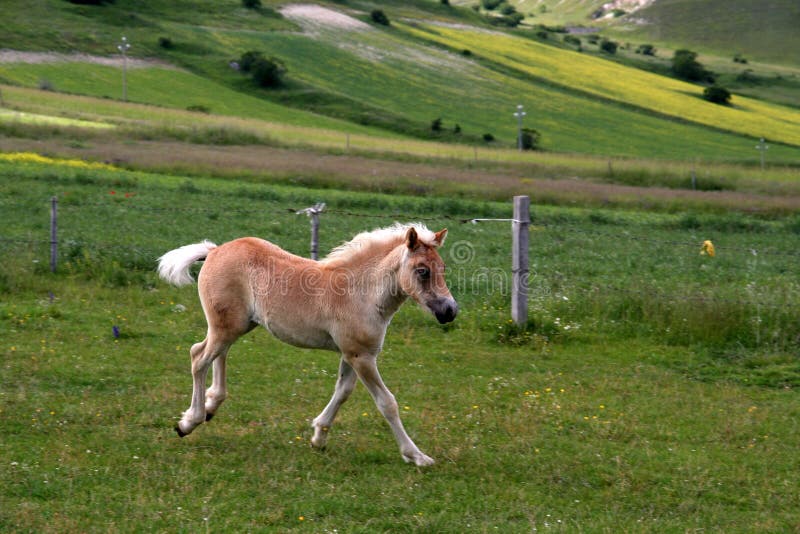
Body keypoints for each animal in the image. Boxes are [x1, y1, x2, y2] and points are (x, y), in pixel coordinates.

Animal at [157, 223, 458, 466]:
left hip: (235, 325)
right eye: (422, 271)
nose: (450, 311)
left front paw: (318, 437)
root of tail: (215, 250)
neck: (361, 293)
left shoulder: (353, 354)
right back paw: (189, 422)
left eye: (443, 269)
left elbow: (343, 391)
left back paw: (211, 405)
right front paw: (417, 456)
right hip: (225, 327)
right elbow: (387, 403)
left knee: (217, 355)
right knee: (198, 357)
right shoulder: (361, 356)